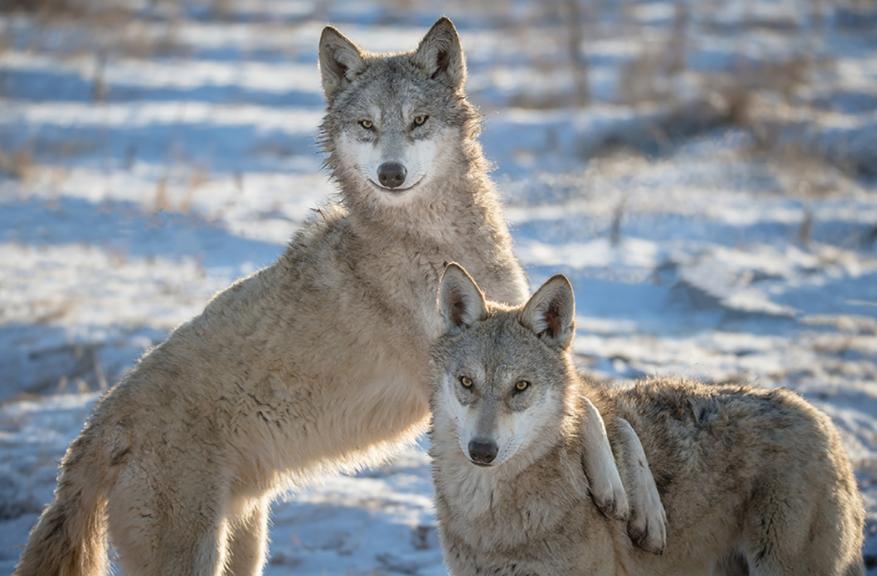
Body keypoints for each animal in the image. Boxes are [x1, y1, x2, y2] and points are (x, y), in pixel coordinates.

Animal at [15, 18, 662, 576]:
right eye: (368, 126)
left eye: (419, 120)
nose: (392, 173)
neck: (432, 242)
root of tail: (96, 426)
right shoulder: (445, 373)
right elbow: (589, 406)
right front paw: (620, 494)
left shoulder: (519, 332)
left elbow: (597, 405)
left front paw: (641, 504)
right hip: (194, 553)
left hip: (244, 545)